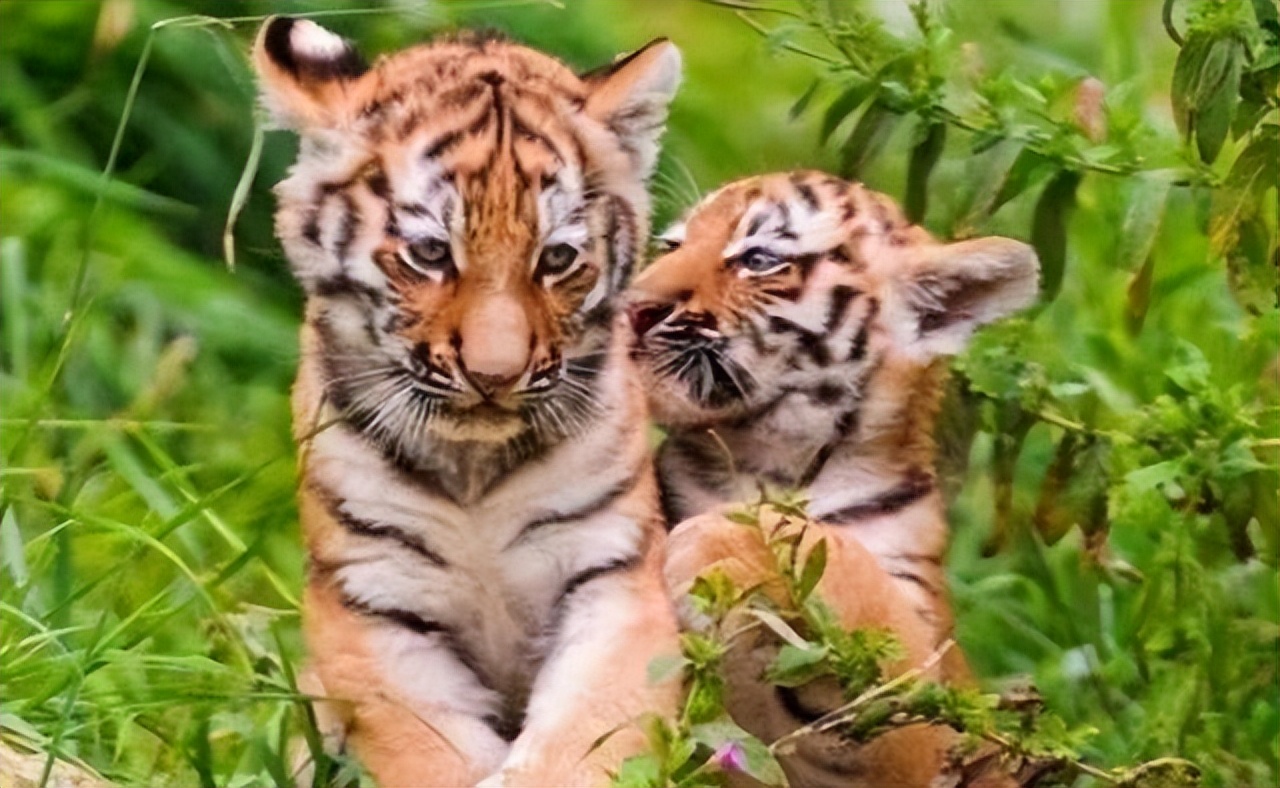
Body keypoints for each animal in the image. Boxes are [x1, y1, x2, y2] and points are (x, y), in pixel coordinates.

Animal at [251, 17, 683, 787]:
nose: (494, 373)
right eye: (429, 253)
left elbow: (587, 739)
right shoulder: (373, 605)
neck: (474, 476)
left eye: (557, 259)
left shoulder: (616, 578)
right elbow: (433, 753)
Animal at [626, 170, 1039, 787]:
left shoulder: (922, 714)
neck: (766, 462)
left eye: (759, 259)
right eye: (671, 245)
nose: (632, 307)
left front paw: (724, 541)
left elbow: (858, 589)